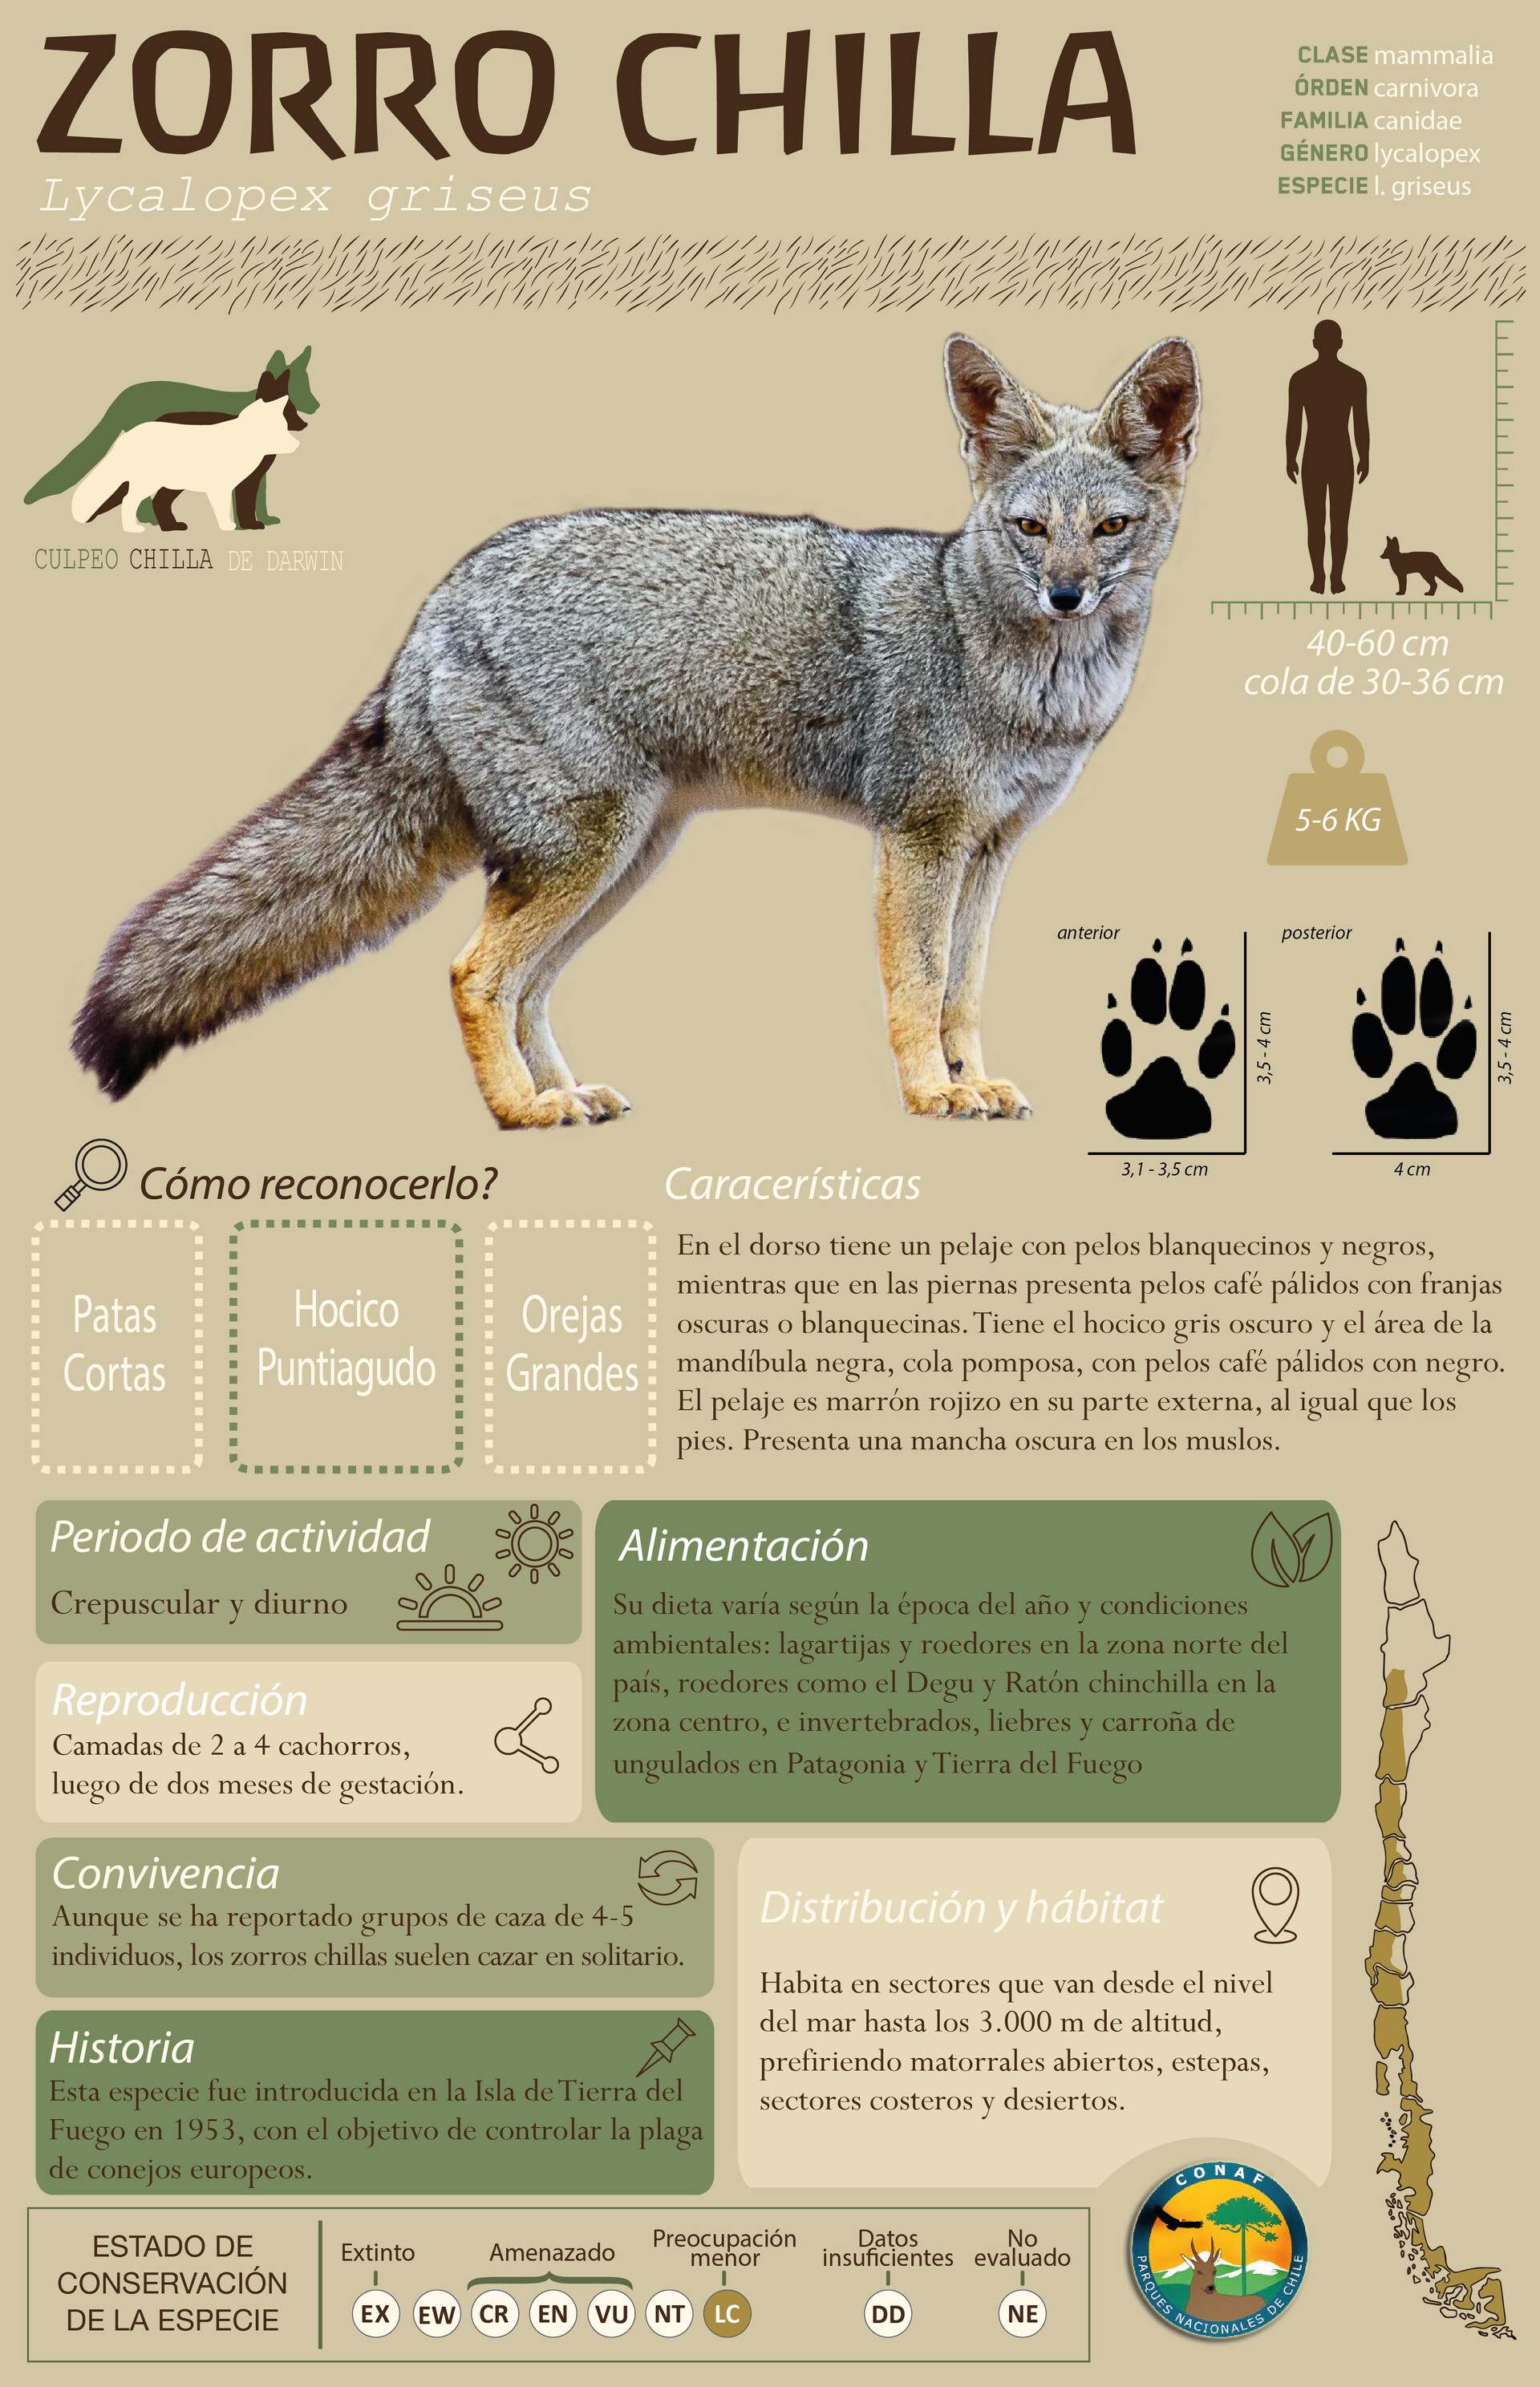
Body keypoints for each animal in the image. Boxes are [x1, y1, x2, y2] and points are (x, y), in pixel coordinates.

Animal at [69, 372, 301, 536]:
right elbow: (229, 508)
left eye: (291, 412)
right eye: (287, 416)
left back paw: (169, 527)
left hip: (170, 484)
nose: (301, 433)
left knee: (156, 502)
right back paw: (134, 529)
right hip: (151, 483)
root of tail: (130, 435)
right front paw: (231, 526)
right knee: (131, 501)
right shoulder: (224, 487)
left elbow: (246, 505)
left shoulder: (246, 482)